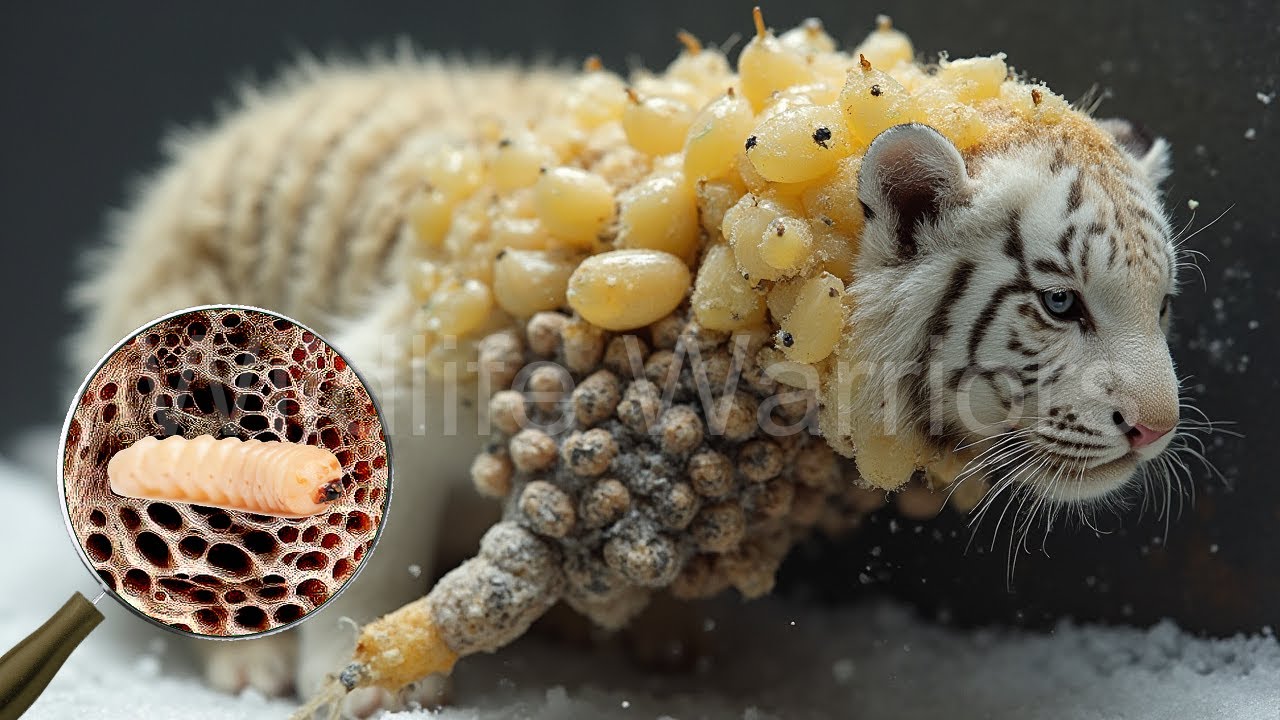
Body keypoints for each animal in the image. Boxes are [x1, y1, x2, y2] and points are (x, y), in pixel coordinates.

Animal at [69, 22, 1189, 715]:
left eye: (1162, 305)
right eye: (1060, 304)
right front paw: (366, 680)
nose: (1158, 430)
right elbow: (367, 558)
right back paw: (253, 657)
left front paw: (668, 635)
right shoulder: (403, 372)